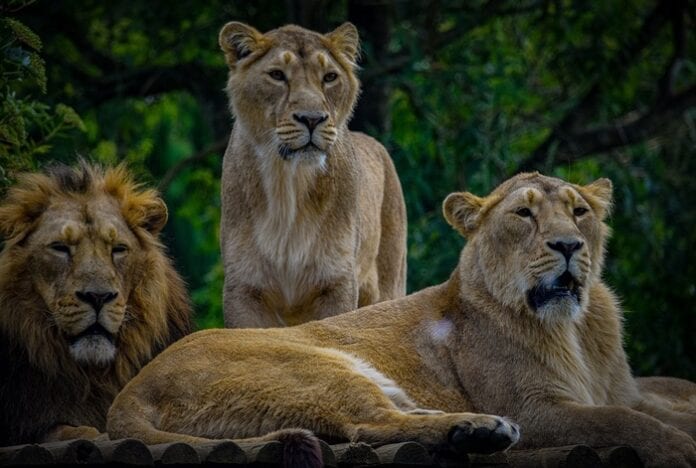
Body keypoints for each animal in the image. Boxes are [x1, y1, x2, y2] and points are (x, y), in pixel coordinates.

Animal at [107, 172, 696, 466]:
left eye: (579, 212)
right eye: (524, 214)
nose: (569, 246)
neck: (577, 327)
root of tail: (132, 389)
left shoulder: (624, 390)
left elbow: (653, 409)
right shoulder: (538, 408)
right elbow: (627, 423)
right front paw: (681, 449)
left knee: (396, 417)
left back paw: (468, 427)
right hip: (315, 366)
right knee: (368, 424)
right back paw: (483, 430)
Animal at [218, 21, 407, 327]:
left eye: (330, 77)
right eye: (277, 75)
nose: (312, 118)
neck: (289, 183)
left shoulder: (337, 282)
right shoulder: (245, 287)